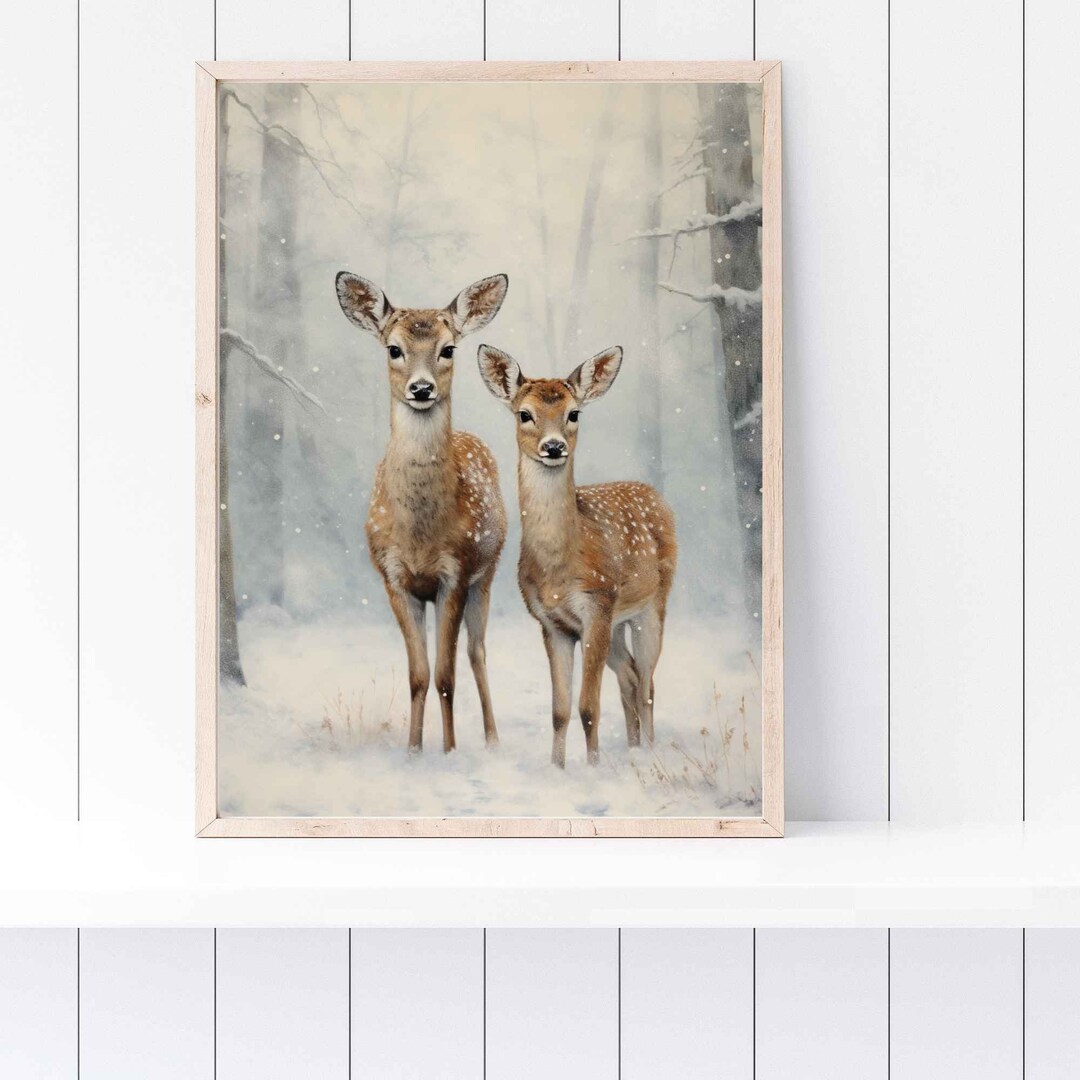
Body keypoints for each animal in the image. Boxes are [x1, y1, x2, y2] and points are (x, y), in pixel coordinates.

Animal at [335, 271, 509, 754]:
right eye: (393, 349)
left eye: (448, 349)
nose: (421, 388)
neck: (420, 537)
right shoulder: (393, 577)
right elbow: (418, 675)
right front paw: (413, 751)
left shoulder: (456, 572)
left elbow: (447, 676)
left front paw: (449, 751)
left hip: (487, 574)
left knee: (477, 652)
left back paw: (492, 739)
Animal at [477, 343, 677, 767]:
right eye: (524, 414)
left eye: (574, 413)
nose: (554, 446)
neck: (558, 568)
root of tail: (653, 493)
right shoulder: (553, 623)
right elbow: (559, 709)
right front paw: (558, 767)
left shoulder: (596, 605)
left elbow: (588, 707)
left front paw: (594, 766)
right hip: (617, 621)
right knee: (630, 676)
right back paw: (634, 748)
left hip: (651, 605)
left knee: (648, 682)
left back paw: (649, 752)